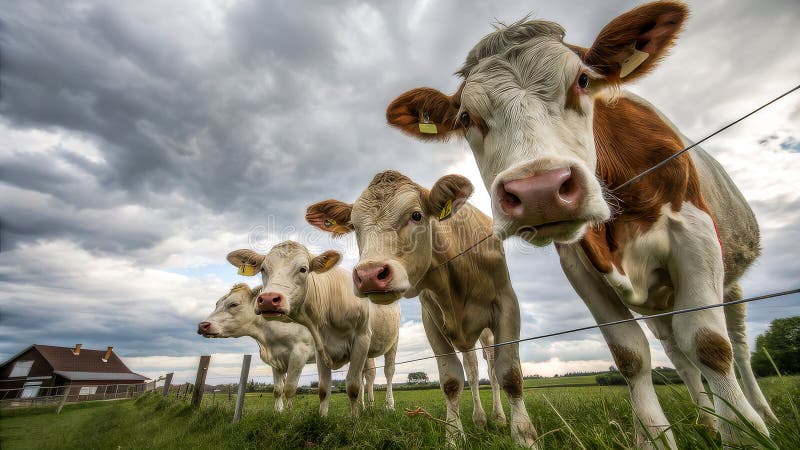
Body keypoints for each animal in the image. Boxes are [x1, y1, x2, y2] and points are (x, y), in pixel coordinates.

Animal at [226, 241, 401, 417]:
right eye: (263, 269)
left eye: (303, 269)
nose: (268, 300)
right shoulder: (319, 346)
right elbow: (323, 389)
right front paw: (322, 417)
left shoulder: (361, 338)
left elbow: (352, 386)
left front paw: (354, 419)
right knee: (368, 375)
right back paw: (366, 406)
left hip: (392, 341)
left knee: (388, 372)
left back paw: (389, 405)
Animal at [306, 171, 537, 447]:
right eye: (355, 227)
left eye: (416, 215)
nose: (369, 275)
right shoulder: (431, 321)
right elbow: (451, 381)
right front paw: (454, 436)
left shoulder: (507, 304)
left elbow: (510, 374)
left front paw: (524, 437)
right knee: (471, 370)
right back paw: (480, 419)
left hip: (486, 335)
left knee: (491, 371)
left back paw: (498, 417)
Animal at [382, 1, 774, 447]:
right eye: (466, 117)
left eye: (583, 80)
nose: (539, 190)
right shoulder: (580, 265)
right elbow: (630, 354)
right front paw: (654, 435)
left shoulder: (694, 234)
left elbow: (709, 343)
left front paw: (745, 433)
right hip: (660, 298)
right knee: (674, 348)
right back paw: (706, 420)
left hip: (730, 279)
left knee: (736, 342)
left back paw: (760, 412)